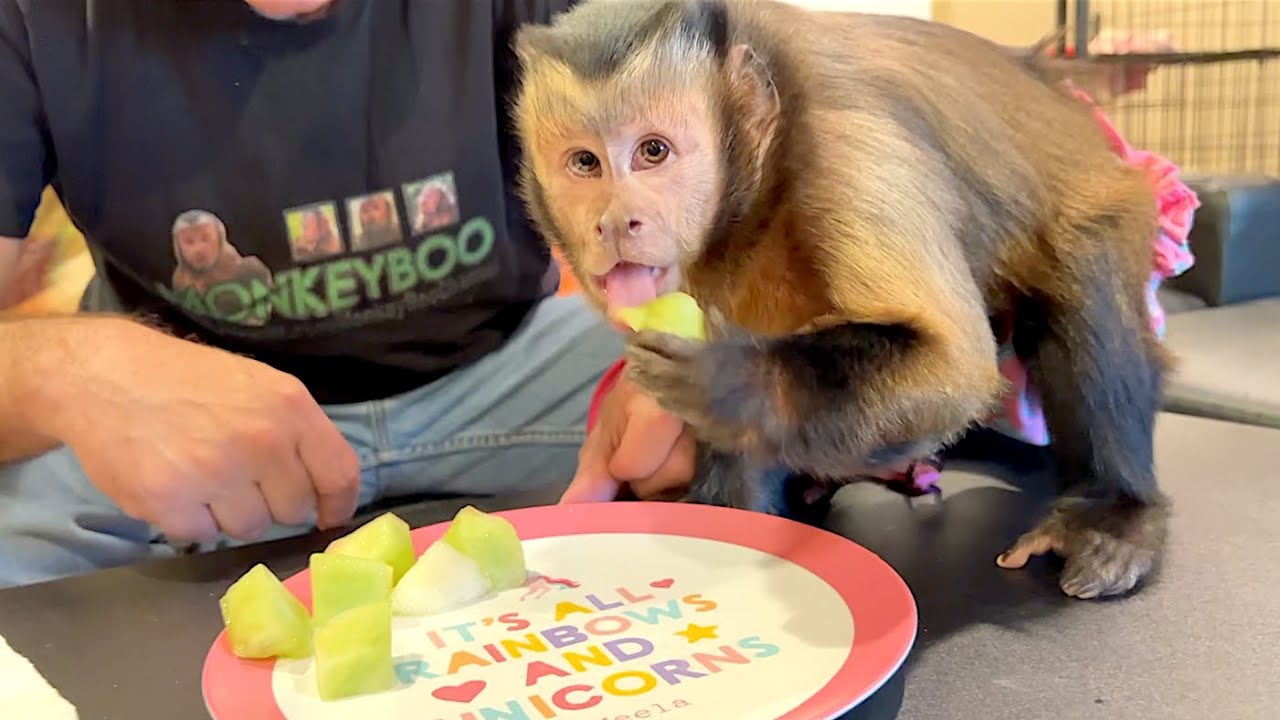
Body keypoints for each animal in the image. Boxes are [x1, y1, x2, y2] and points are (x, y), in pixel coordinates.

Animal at [510, 0, 1177, 601]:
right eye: (585, 163)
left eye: (653, 151)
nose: (616, 222)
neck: (757, 186)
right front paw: (719, 519)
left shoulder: (848, 148)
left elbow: (953, 367)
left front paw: (738, 382)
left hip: (1106, 201)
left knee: (1082, 282)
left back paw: (1112, 512)